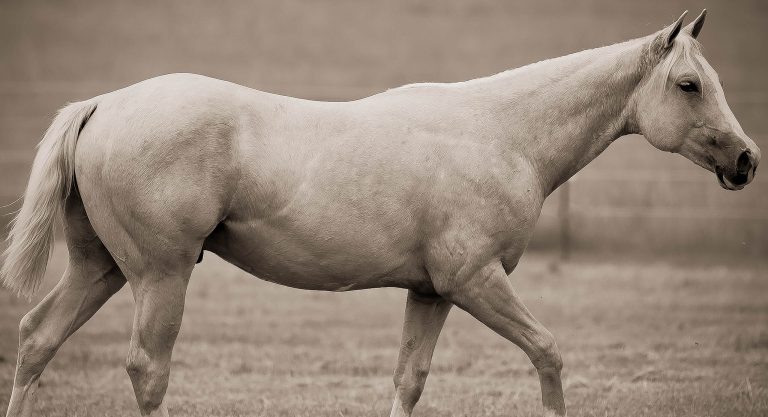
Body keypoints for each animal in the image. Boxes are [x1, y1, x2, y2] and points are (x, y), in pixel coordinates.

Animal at [1, 9, 760, 417]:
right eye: (688, 85)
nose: (748, 160)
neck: (499, 132)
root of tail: (104, 103)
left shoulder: (431, 294)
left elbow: (409, 380)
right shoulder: (475, 281)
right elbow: (548, 351)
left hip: (103, 270)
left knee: (38, 338)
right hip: (160, 277)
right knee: (146, 369)